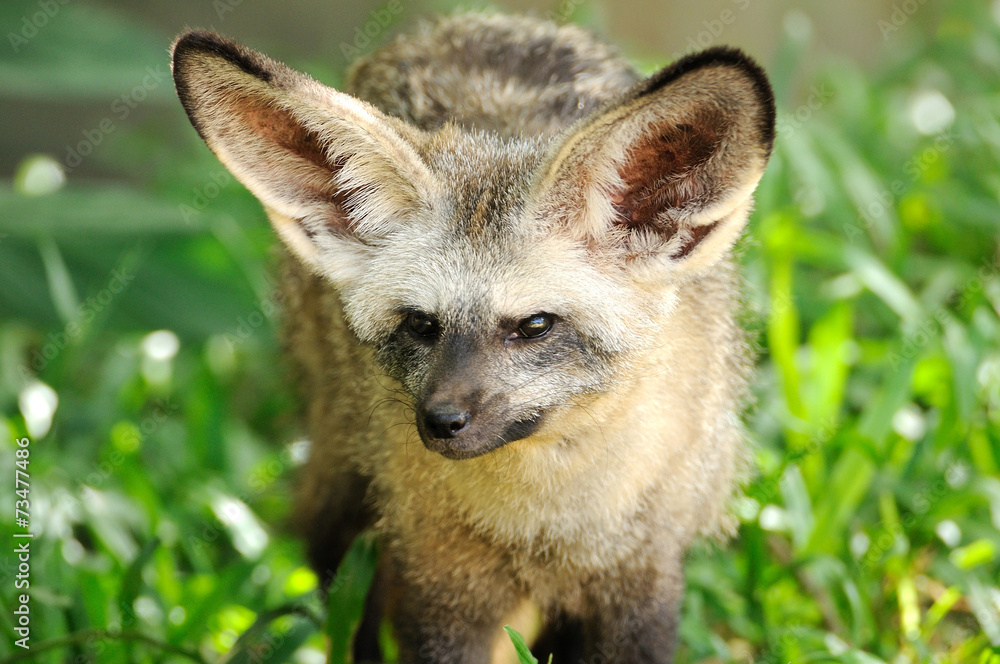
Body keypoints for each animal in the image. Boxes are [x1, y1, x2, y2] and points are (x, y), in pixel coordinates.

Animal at [171, 12, 774, 663]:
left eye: (534, 325)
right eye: (421, 324)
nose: (441, 422)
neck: (545, 520)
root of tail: (480, 18)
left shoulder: (642, 577)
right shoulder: (439, 579)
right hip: (342, 486)